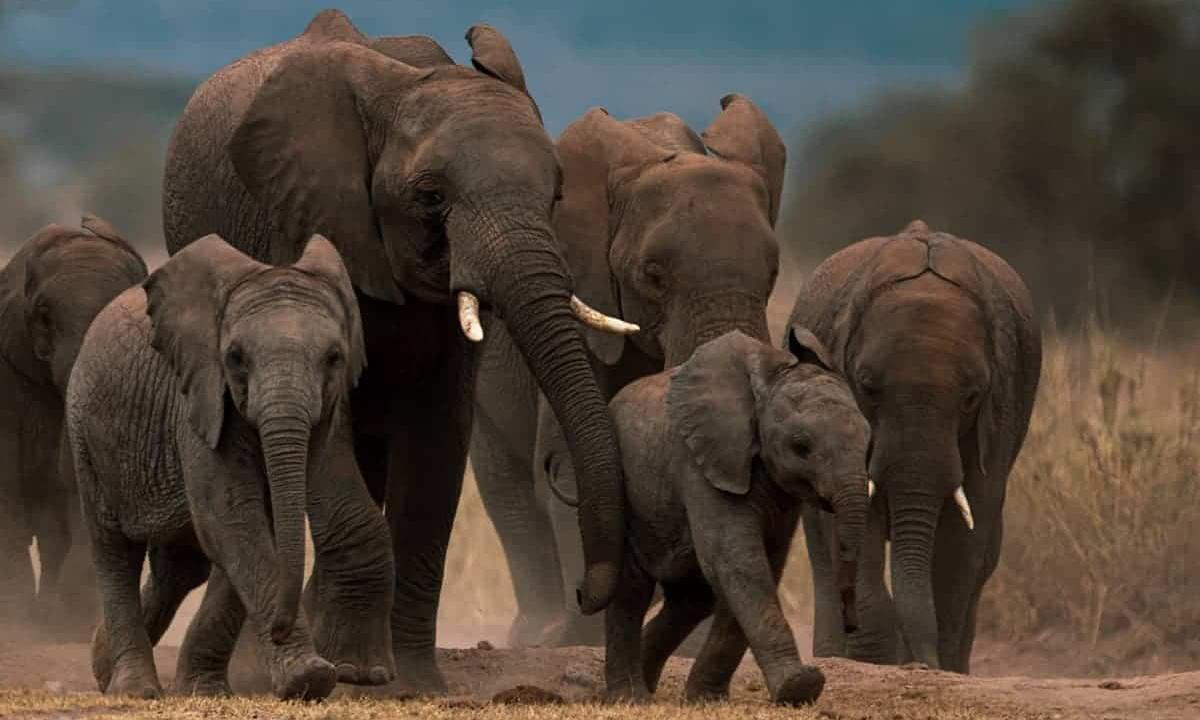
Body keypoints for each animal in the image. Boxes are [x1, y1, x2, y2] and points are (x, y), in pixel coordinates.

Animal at [67, 234, 394, 700]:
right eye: (236, 357)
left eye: (334, 358)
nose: (277, 630)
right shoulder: (198, 401)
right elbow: (232, 517)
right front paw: (310, 677)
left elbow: (252, 525)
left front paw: (205, 692)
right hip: (86, 432)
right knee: (115, 550)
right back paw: (133, 690)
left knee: (180, 567)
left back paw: (102, 663)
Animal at [160, 9, 634, 692]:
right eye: (431, 197)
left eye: (556, 195)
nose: (585, 594)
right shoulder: (296, 222)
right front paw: (357, 673)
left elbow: (434, 455)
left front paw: (409, 680)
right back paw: (272, 665)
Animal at [470, 94, 786, 647]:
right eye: (652, 275)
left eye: (772, 272)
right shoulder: (586, 297)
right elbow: (574, 462)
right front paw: (583, 638)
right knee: (505, 486)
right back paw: (535, 633)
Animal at [590, 330, 871, 705]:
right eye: (801, 446)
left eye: (868, 441)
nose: (850, 623)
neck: (767, 381)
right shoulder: (701, 463)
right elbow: (738, 560)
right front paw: (800, 687)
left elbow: (761, 564)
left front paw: (705, 699)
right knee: (632, 591)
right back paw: (630, 698)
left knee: (692, 601)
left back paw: (642, 686)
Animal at [785, 220, 1042, 673]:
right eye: (867, 386)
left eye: (971, 398)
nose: (922, 664)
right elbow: (850, 523)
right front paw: (876, 658)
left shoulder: (1001, 412)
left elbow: (965, 534)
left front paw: (935, 665)